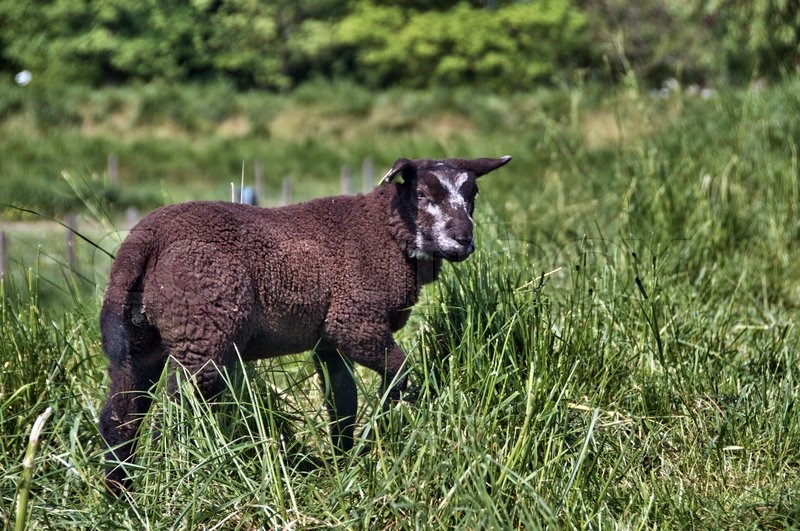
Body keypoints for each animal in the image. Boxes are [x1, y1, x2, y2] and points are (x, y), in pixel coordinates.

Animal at [99, 155, 511, 494]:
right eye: (423, 194)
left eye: (473, 194)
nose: (463, 241)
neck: (385, 232)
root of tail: (145, 240)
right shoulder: (355, 321)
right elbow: (399, 373)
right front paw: (379, 428)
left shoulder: (328, 341)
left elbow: (342, 401)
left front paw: (345, 462)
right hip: (202, 328)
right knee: (173, 416)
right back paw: (174, 481)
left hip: (142, 341)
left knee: (119, 418)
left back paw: (123, 495)